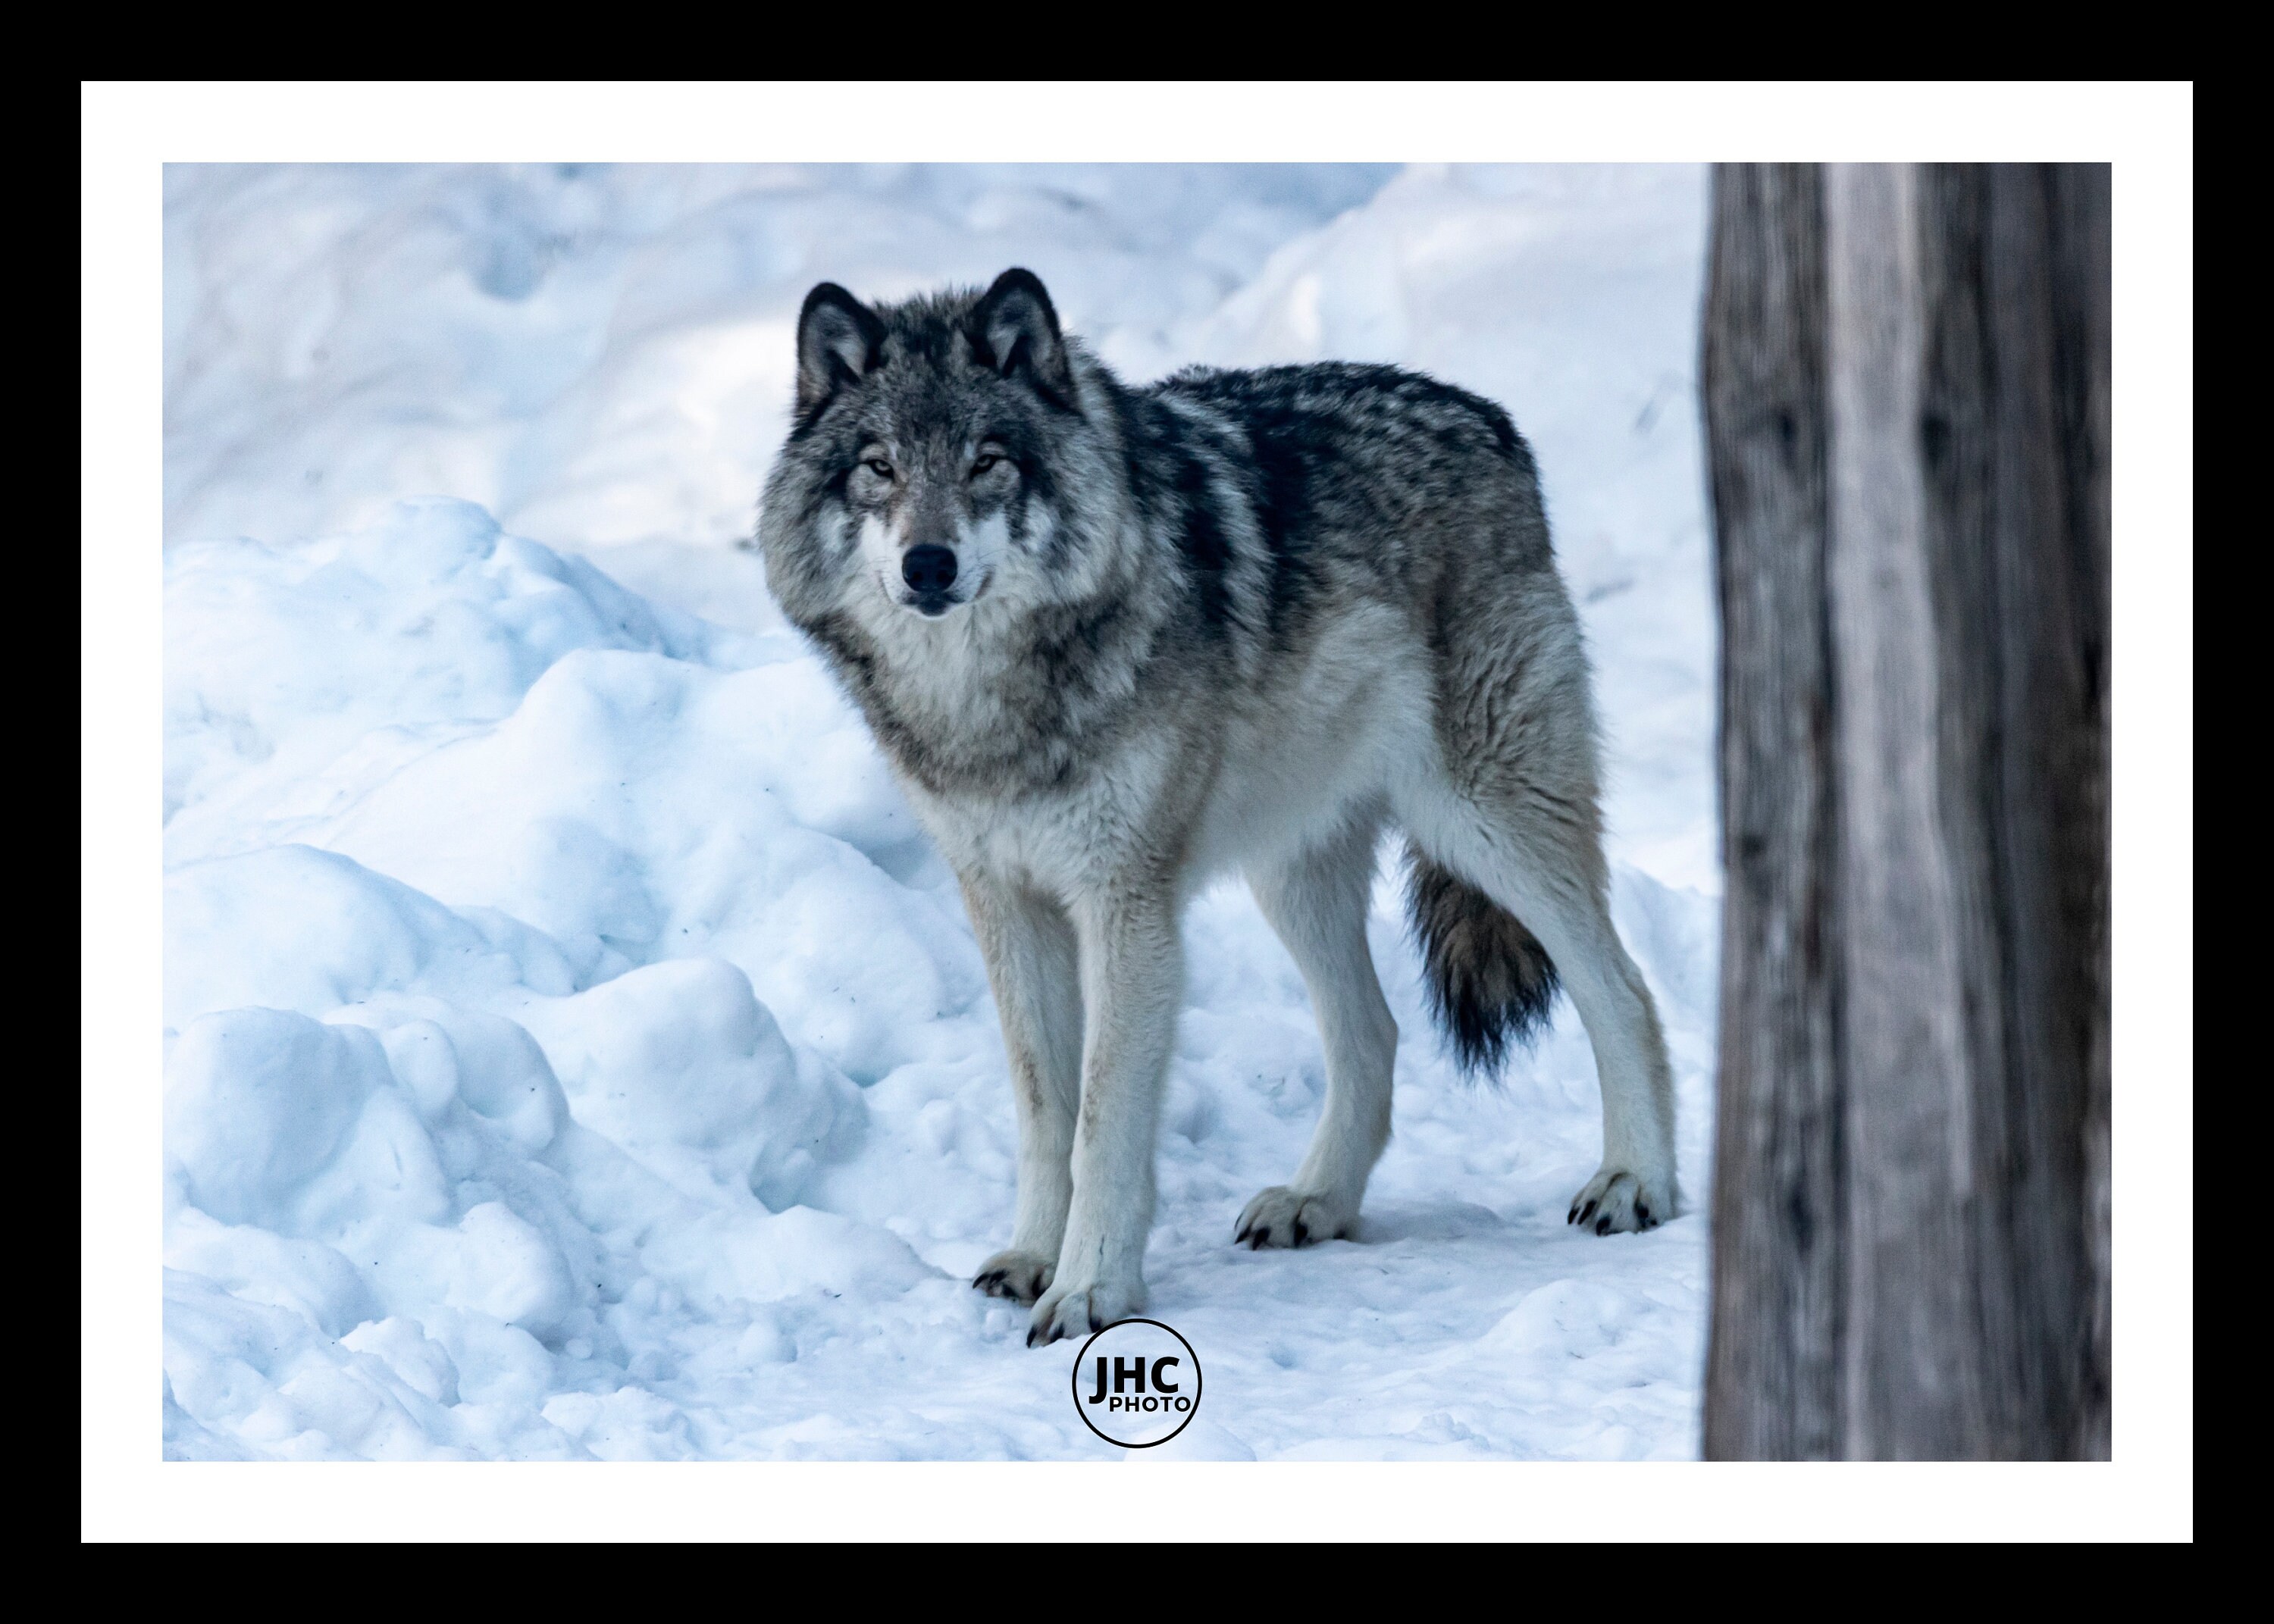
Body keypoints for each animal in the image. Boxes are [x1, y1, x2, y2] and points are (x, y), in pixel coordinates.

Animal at [758, 269, 1677, 1345]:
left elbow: (1101, 1122)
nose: (928, 564)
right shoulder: (1006, 902)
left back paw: (1636, 1183)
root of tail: (1492, 421)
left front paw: (1089, 1290)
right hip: (1295, 873)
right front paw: (1032, 1258)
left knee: (1623, 989)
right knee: (1374, 1034)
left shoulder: (1125, 906)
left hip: (1486, 821)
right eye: (879, 468)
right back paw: (1316, 1201)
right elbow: (1042, 1110)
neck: (991, 704)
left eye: (989, 463)